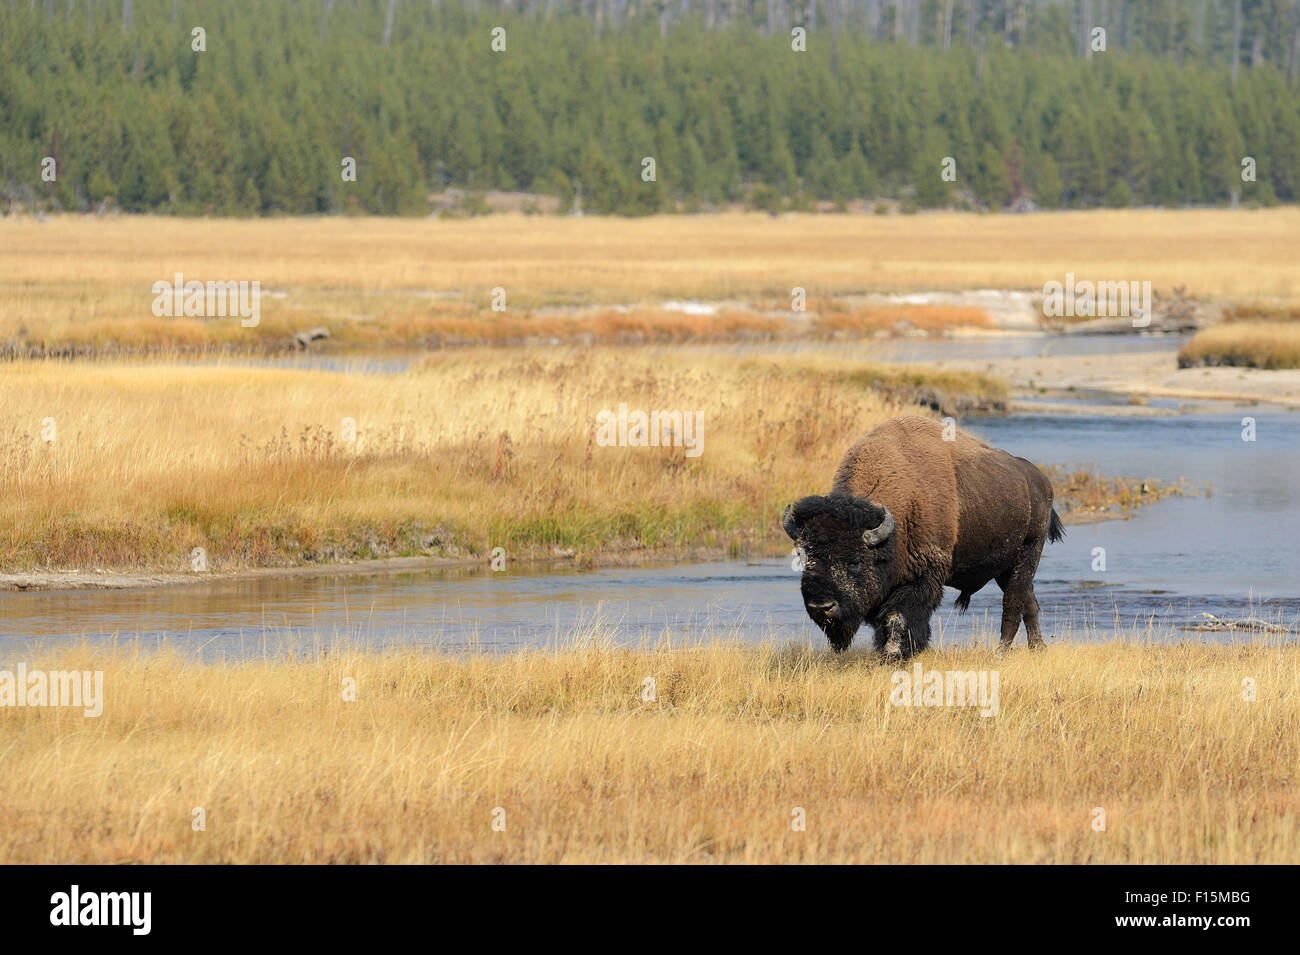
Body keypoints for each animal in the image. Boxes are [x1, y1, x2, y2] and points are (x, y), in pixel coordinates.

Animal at [782, 415, 1064, 658]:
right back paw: (1037, 648)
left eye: (854, 561)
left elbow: (898, 616)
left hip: (1027, 554)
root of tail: (1040, 481)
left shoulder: (922, 577)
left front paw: (894, 655)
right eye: (805, 557)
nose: (822, 607)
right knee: (1029, 602)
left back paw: (1001, 652)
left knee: (1013, 603)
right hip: (1005, 567)